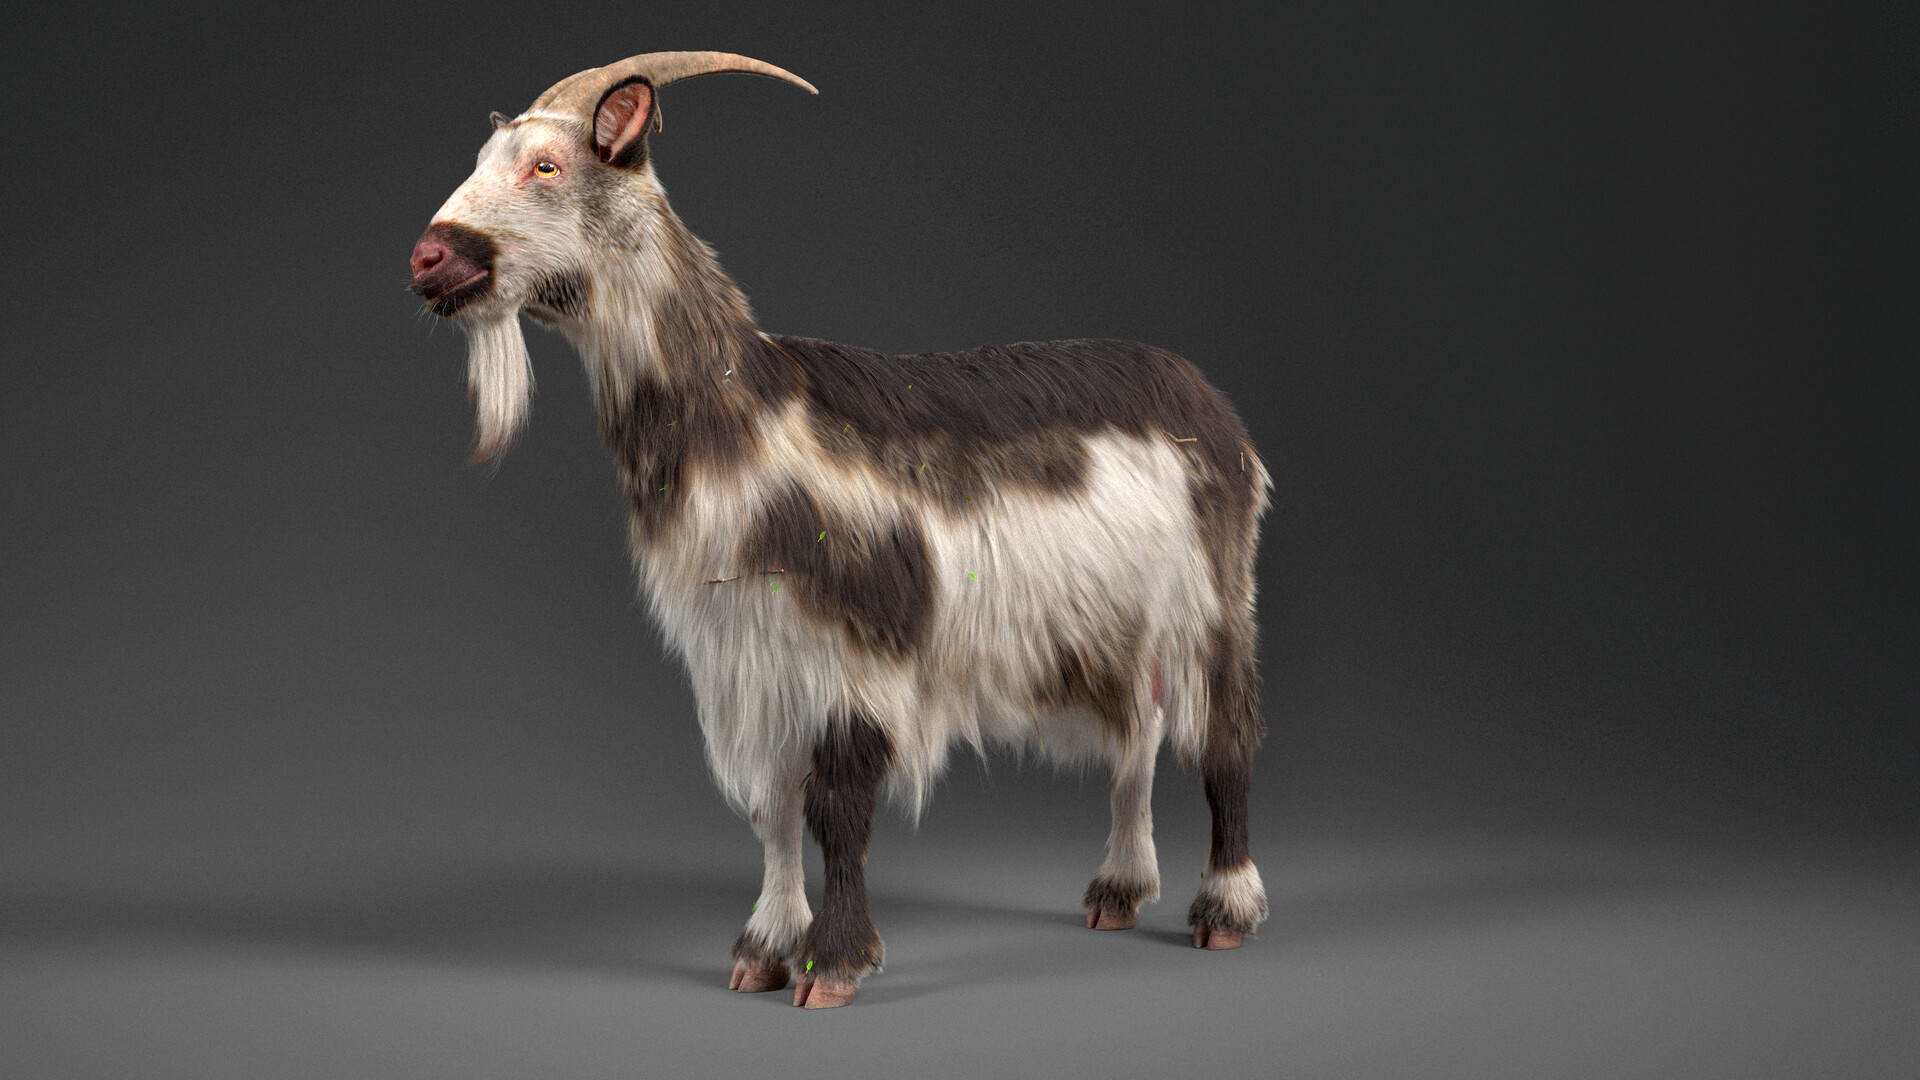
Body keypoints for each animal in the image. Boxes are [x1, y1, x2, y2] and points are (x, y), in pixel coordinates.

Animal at [409, 51, 1271, 1009]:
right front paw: (764, 950)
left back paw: (1224, 911)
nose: (429, 257)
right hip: (1113, 624)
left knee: (1224, 735)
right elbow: (773, 807)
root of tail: (1208, 403)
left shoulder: (861, 653)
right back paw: (1118, 892)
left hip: (1211, 597)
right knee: (1139, 734)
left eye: (547, 166)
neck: (752, 416)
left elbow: (839, 808)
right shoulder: (749, 653)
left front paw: (834, 964)